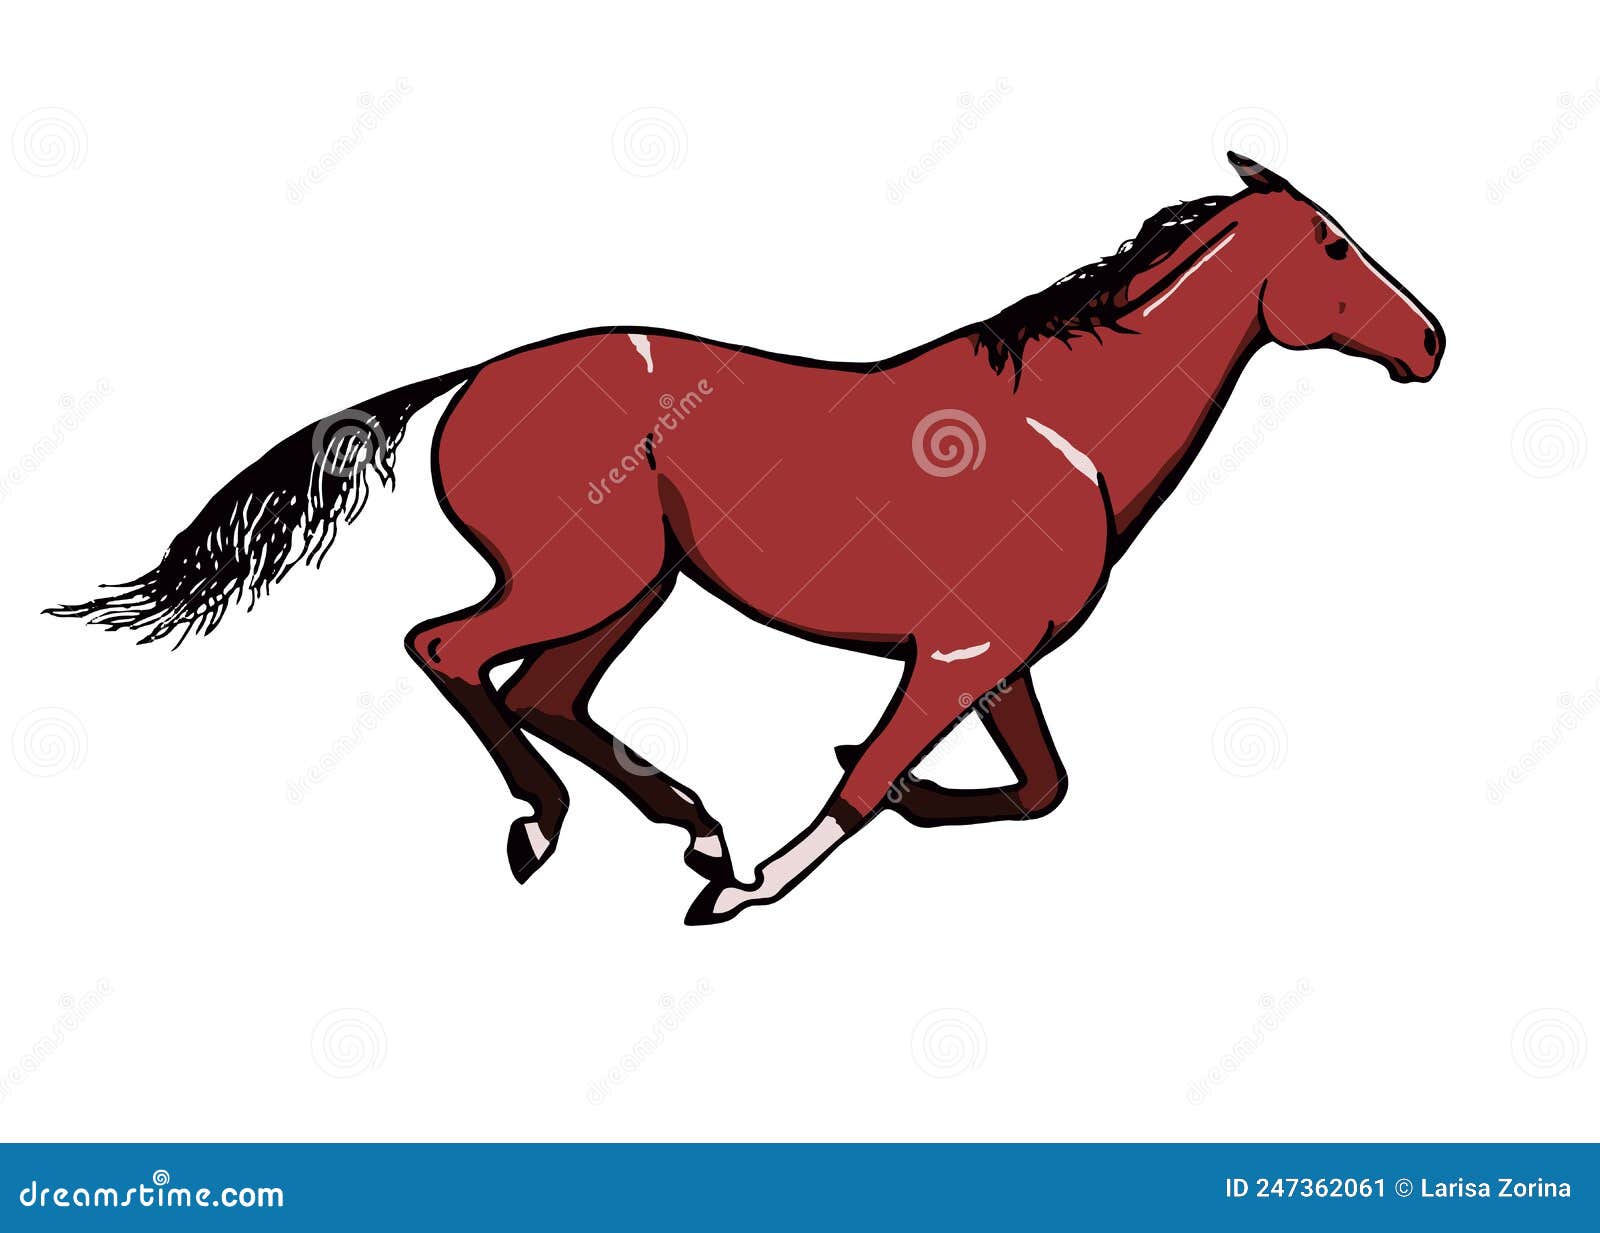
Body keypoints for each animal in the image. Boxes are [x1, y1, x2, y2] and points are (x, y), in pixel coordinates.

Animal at [49, 153, 1443, 924]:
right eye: (1333, 244)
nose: (1431, 341)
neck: (1062, 430)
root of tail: (471, 377)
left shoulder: (1000, 659)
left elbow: (1036, 786)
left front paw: (855, 817)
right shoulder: (956, 653)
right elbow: (868, 783)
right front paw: (754, 884)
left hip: (632, 582)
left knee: (543, 689)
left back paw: (687, 823)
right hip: (585, 572)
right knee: (449, 650)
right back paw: (554, 826)